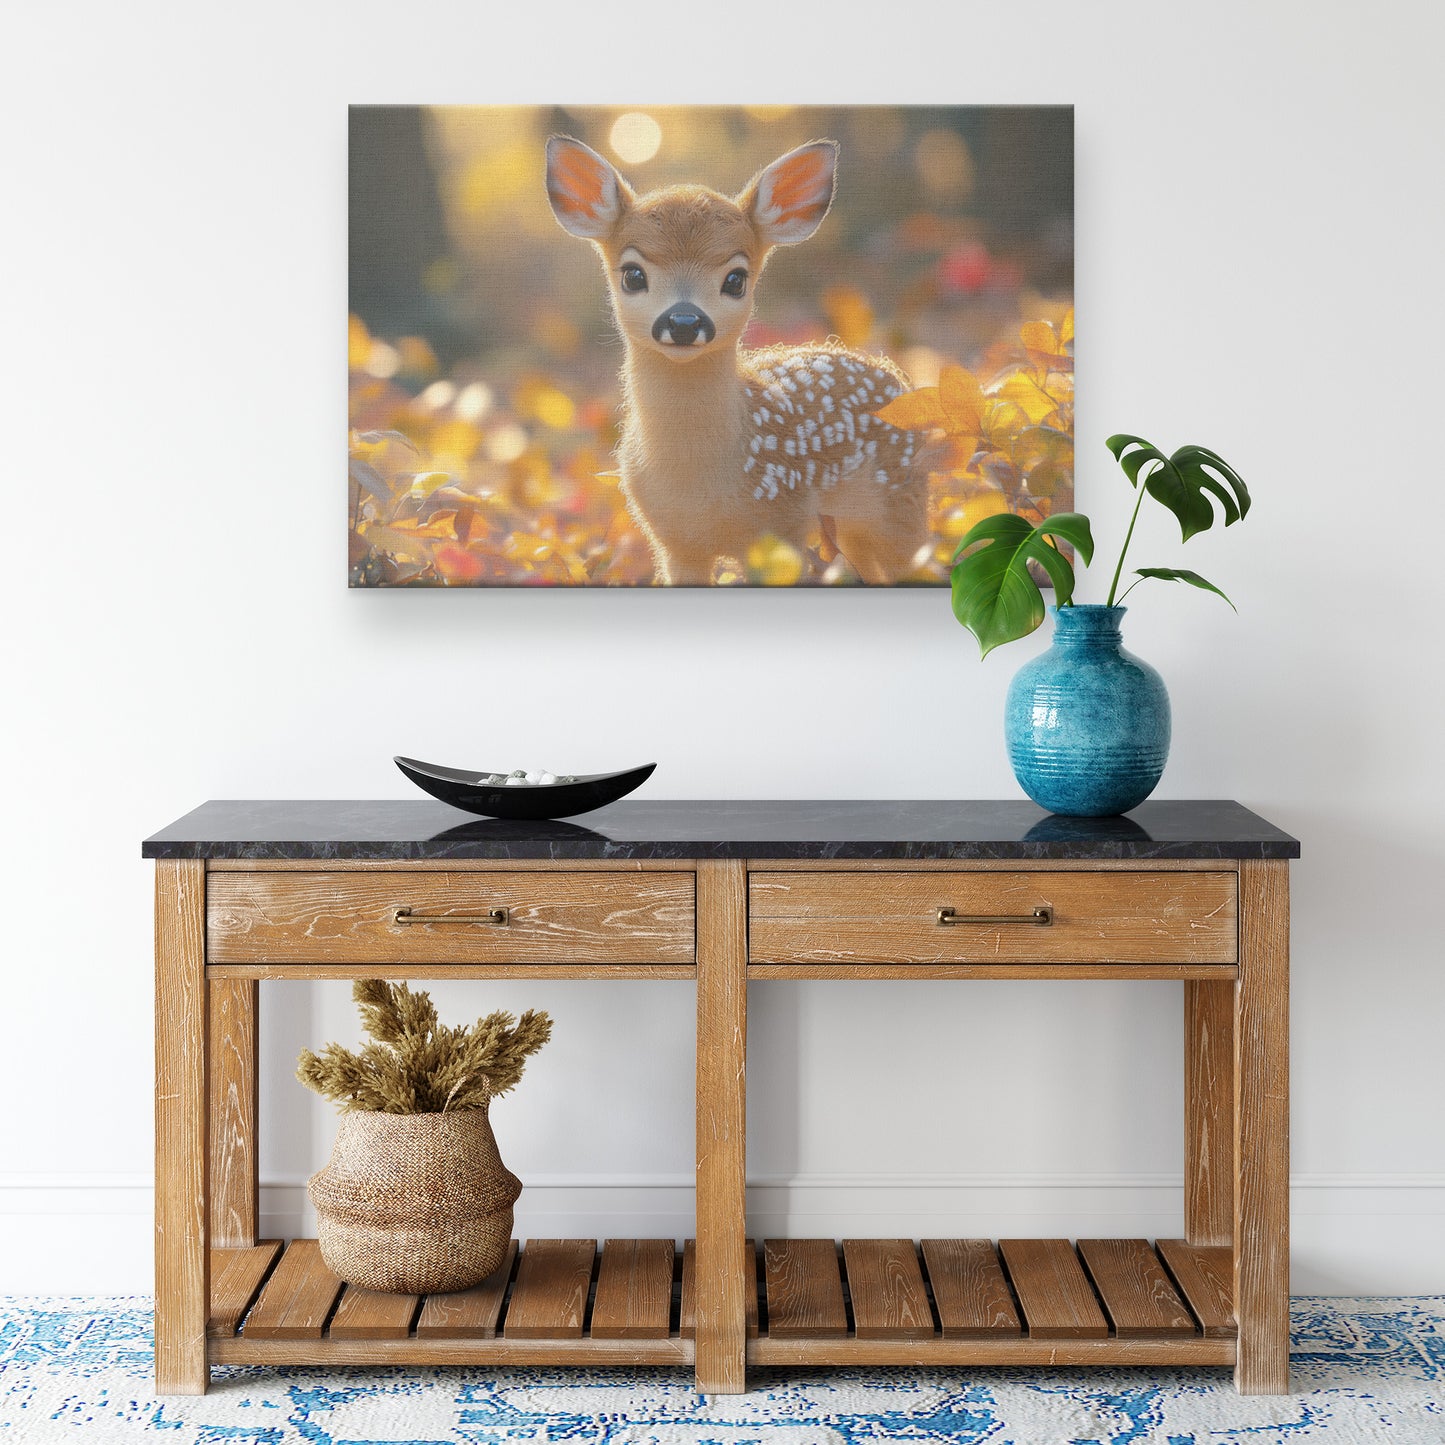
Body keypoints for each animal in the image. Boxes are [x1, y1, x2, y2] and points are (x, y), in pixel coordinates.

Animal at [545, 135, 926, 585]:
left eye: (735, 279)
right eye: (633, 275)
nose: (684, 321)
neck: (697, 485)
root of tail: (894, 373)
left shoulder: (783, 520)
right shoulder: (674, 542)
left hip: (901, 502)